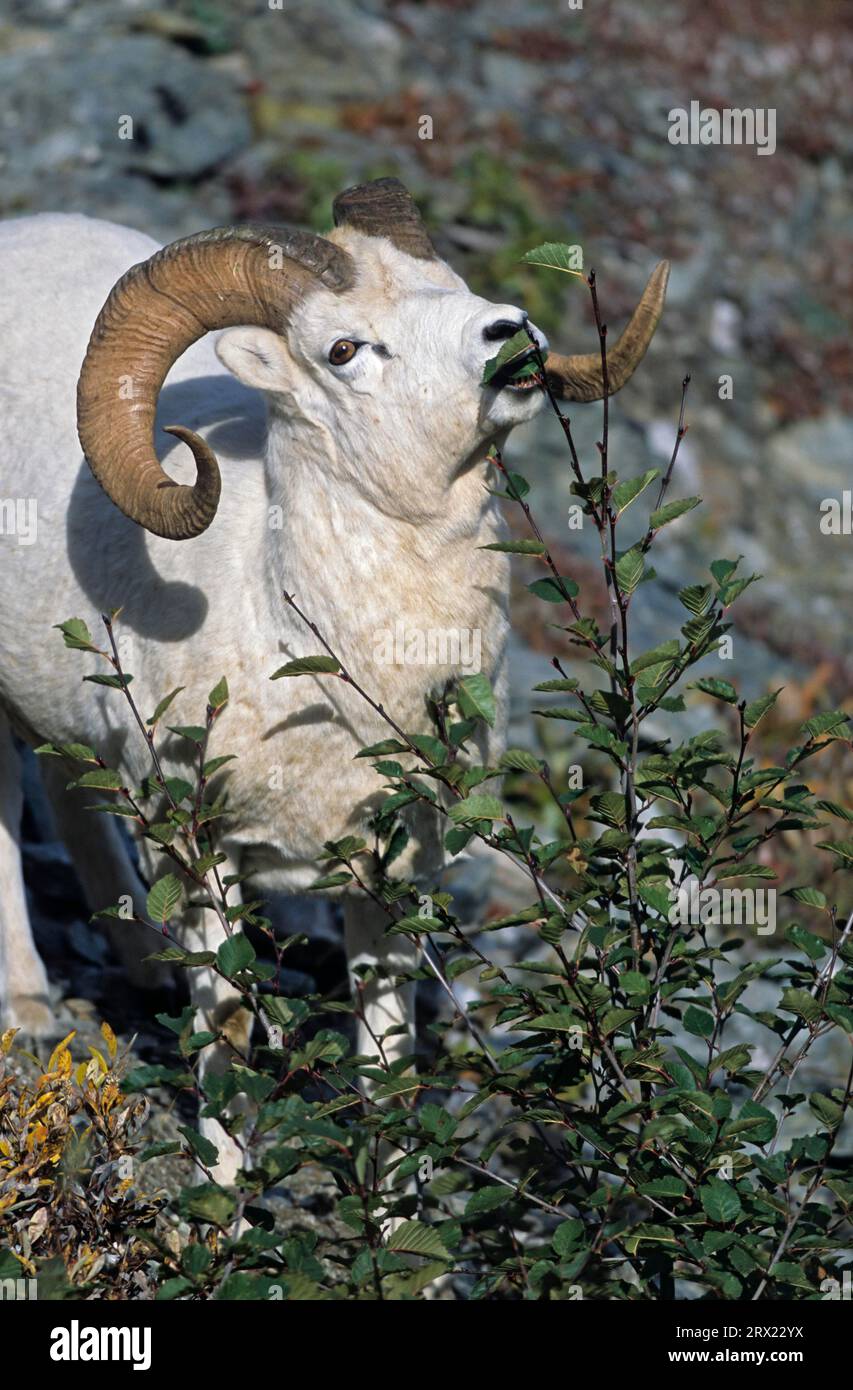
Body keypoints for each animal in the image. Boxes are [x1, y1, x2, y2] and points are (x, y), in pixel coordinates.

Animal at [0, 177, 668, 1179]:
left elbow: (387, 1055)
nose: (510, 337)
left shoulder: (391, 875)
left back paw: (143, 964)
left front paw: (394, 1216)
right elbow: (230, 1032)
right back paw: (30, 1005)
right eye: (343, 350)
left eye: (452, 286)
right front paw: (219, 1198)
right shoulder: (203, 853)